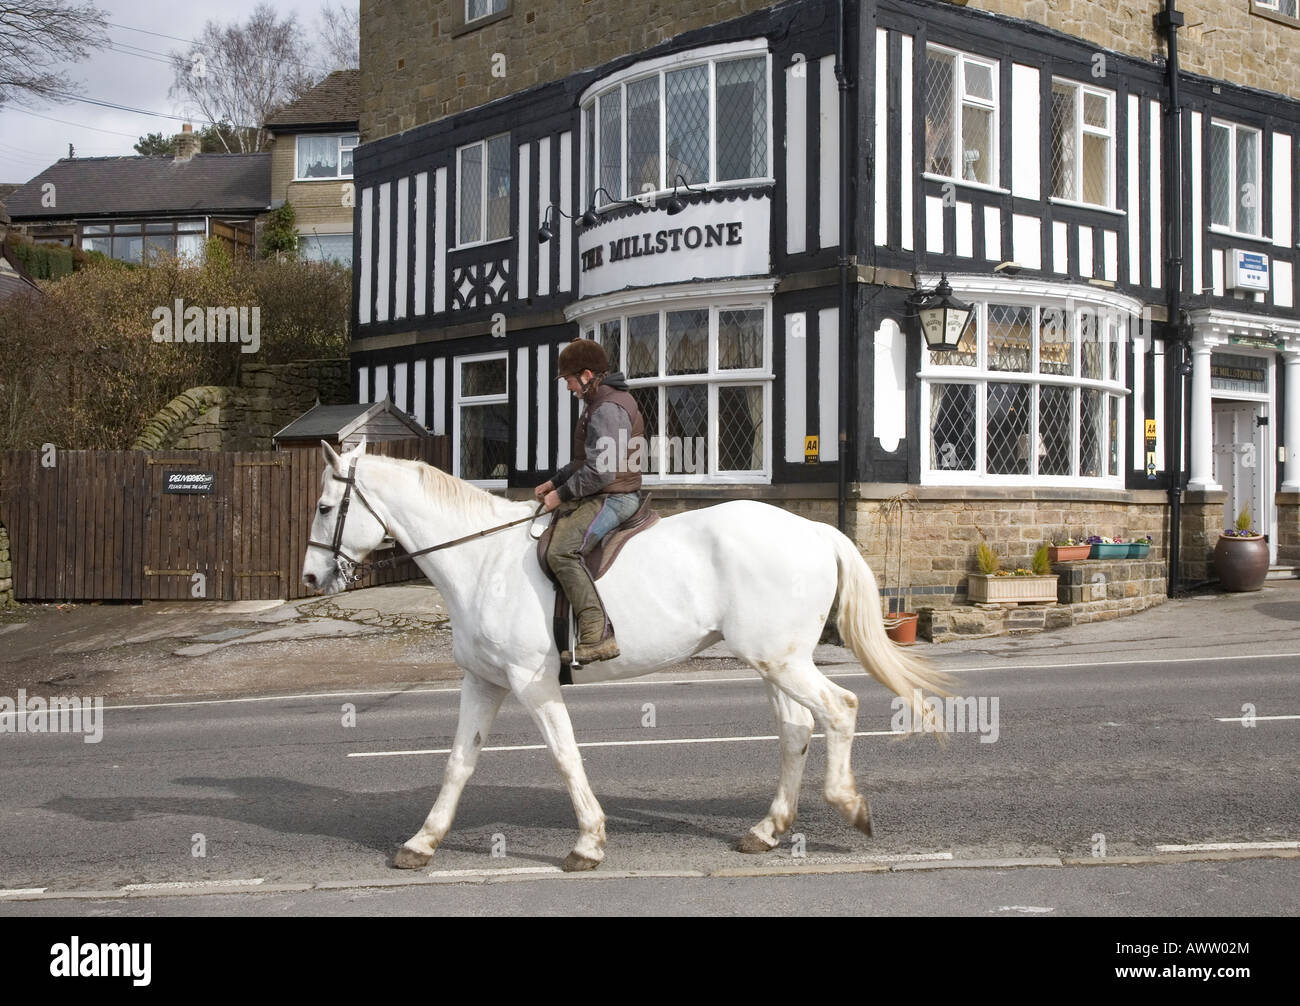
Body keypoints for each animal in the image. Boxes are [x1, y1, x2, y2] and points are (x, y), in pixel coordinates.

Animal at [301, 438, 950, 872]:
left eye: (326, 508)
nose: (310, 578)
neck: (482, 561)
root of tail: (814, 530)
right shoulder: (483, 682)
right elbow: (459, 763)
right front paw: (422, 842)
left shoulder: (531, 681)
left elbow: (565, 757)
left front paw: (588, 843)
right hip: (774, 661)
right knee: (795, 730)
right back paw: (766, 831)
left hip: (783, 661)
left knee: (838, 710)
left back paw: (848, 805)